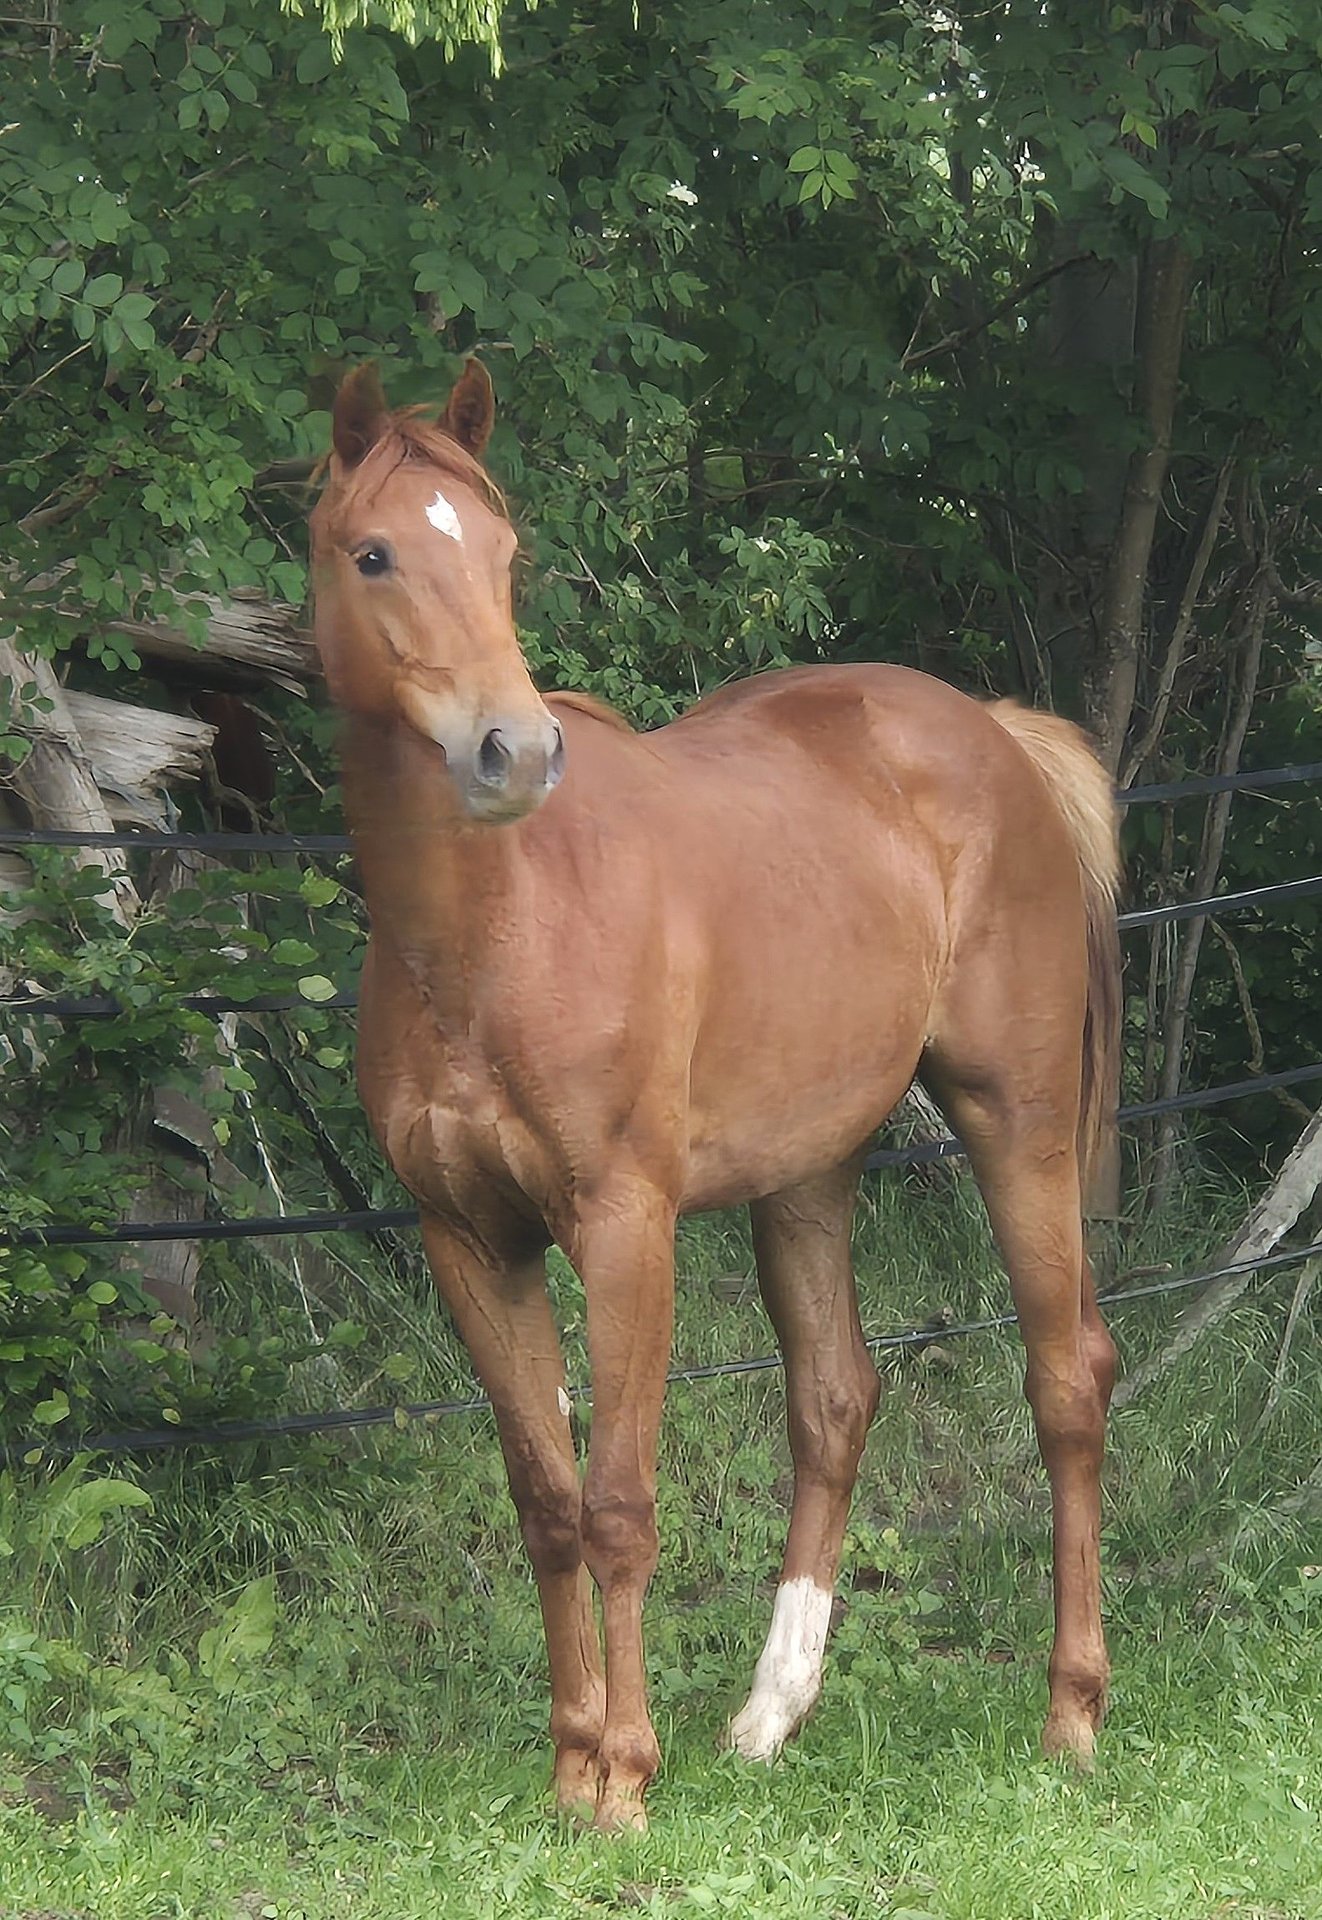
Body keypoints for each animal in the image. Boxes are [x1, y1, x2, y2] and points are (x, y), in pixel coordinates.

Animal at [309, 359, 1122, 1833]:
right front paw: (572, 1762)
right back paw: (767, 1714)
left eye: (503, 551)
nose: (512, 751)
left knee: (1064, 1381)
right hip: (807, 1170)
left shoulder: (624, 1229)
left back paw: (1068, 1717)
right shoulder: (472, 1242)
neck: (487, 939)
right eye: (375, 551)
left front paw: (624, 1779)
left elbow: (619, 1503)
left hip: (1016, 1122)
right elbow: (543, 1498)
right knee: (836, 1398)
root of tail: (994, 735)